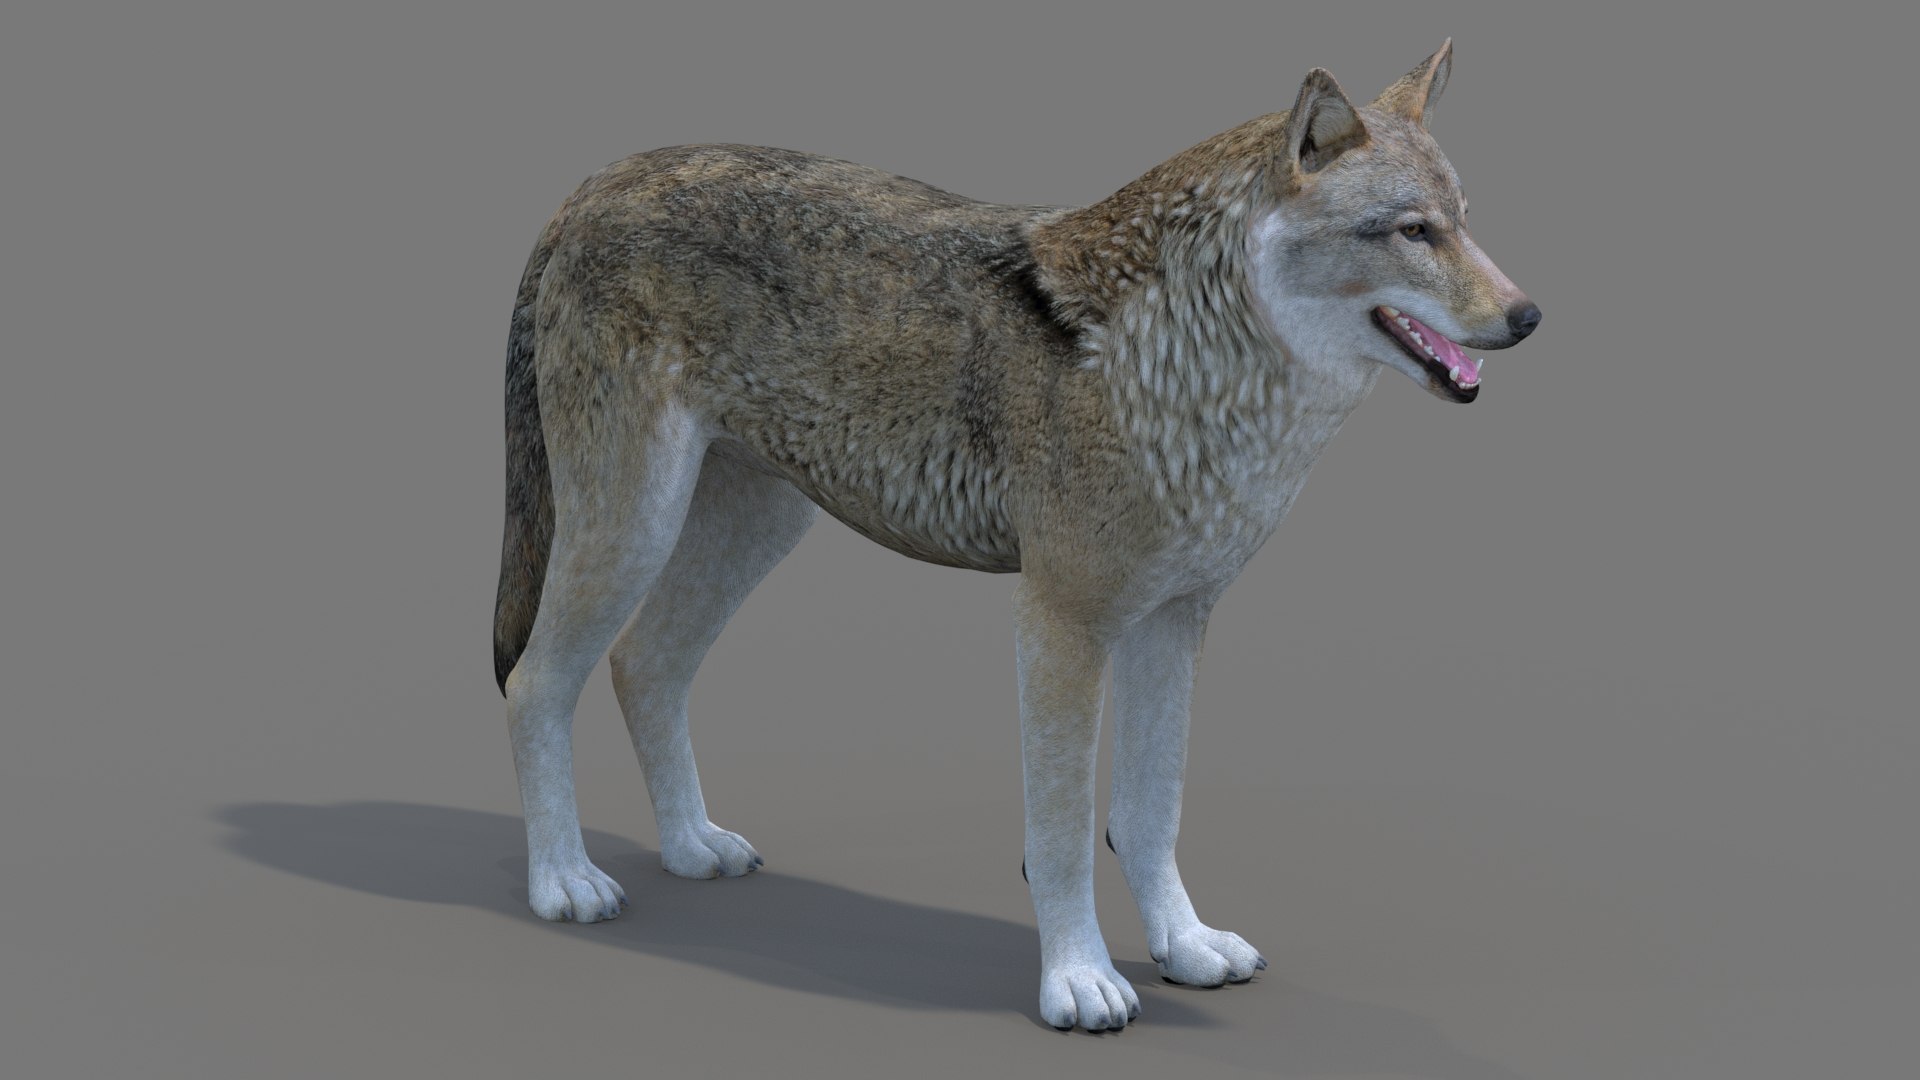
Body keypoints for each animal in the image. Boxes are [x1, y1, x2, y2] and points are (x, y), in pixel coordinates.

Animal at [491, 40, 1538, 1031]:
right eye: (1412, 231)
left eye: (1465, 219)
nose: (1529, 316)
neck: (1193, 370)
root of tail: (595, 183)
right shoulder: (1061, 620)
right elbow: (1065, 831)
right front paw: (1079, 981)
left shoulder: (1176, 619)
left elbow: (1151, 812)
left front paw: (1185, 945)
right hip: (632, 527)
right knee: (537, 682)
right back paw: (563, 884)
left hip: (753, 531)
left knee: (643, 666)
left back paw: (690, 847)